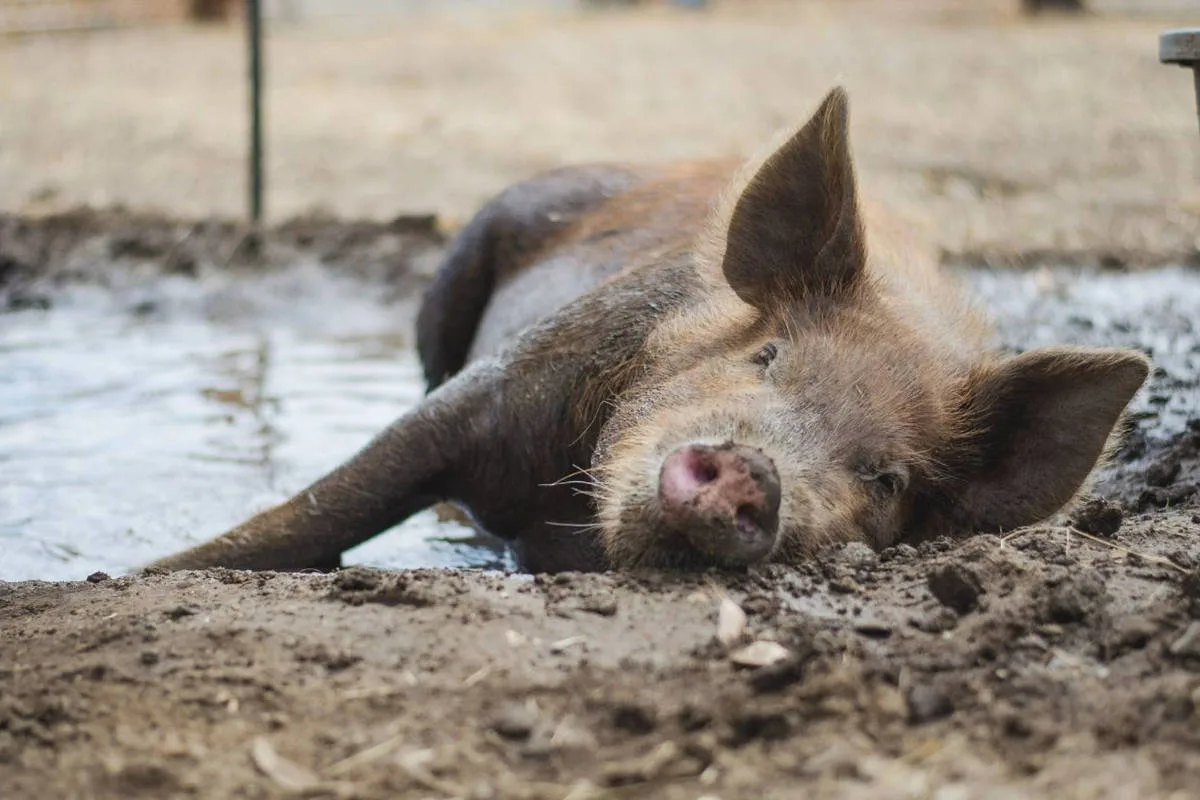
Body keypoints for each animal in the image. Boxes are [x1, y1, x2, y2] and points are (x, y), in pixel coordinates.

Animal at [148, 87, 1148, 574]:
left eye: (887, 477)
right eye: (767, 354)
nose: (751, 469)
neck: (563, 512)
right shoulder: (502, 383)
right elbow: (324, 506)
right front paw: (141, 575)